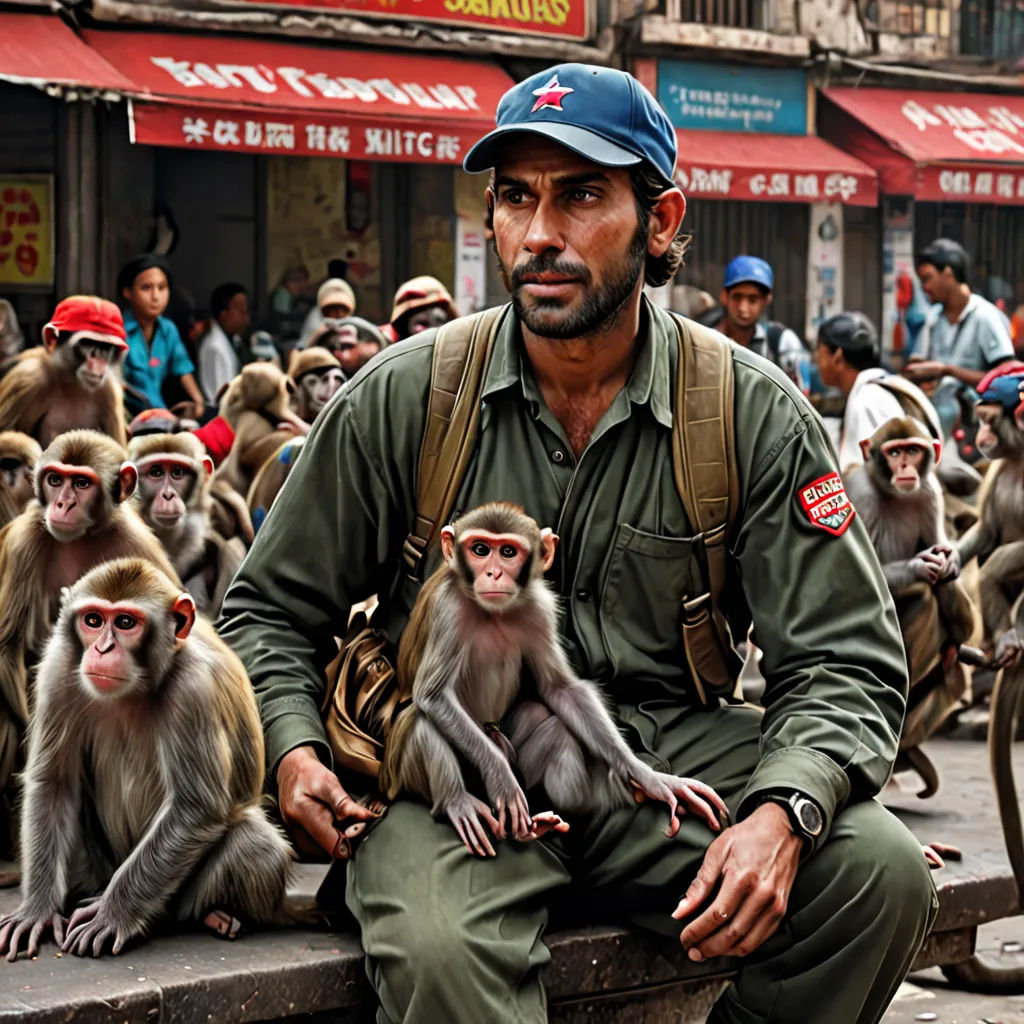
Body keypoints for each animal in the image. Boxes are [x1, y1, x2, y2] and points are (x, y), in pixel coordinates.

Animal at [0, 297, 128, 448]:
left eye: (106, 347)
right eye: (87, 342)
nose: (98, 359)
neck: (70, 381)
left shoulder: (109, 392)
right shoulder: (27, 378)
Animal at [0, 430, 181, 834]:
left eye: (81, 483)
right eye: (55, 480)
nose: (63, 503)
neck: (81, 537)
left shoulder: (136, 542)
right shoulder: (24, 541)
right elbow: (6, 645)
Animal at [0, 558, 293, 959]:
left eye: (126, 622)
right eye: (93, 620)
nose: (102, 649)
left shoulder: (193, 688)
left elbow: (195, 808)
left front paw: (110, 914)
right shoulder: (58, 669)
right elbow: (53, 783)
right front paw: (36, 911)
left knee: (256, 843)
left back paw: (213, 915)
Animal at [380, 502, 729, 858]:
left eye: (508, 552)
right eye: (479, 549)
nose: (493, 574)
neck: (492, 613)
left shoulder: (538, 608)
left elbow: (561, 690)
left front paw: (646, 775)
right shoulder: (447, 608)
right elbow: (434, 696)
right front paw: (503, 781)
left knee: (553, 727)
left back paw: (541, 824)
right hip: (398, 772)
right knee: (421, 719)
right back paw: (458, 802)